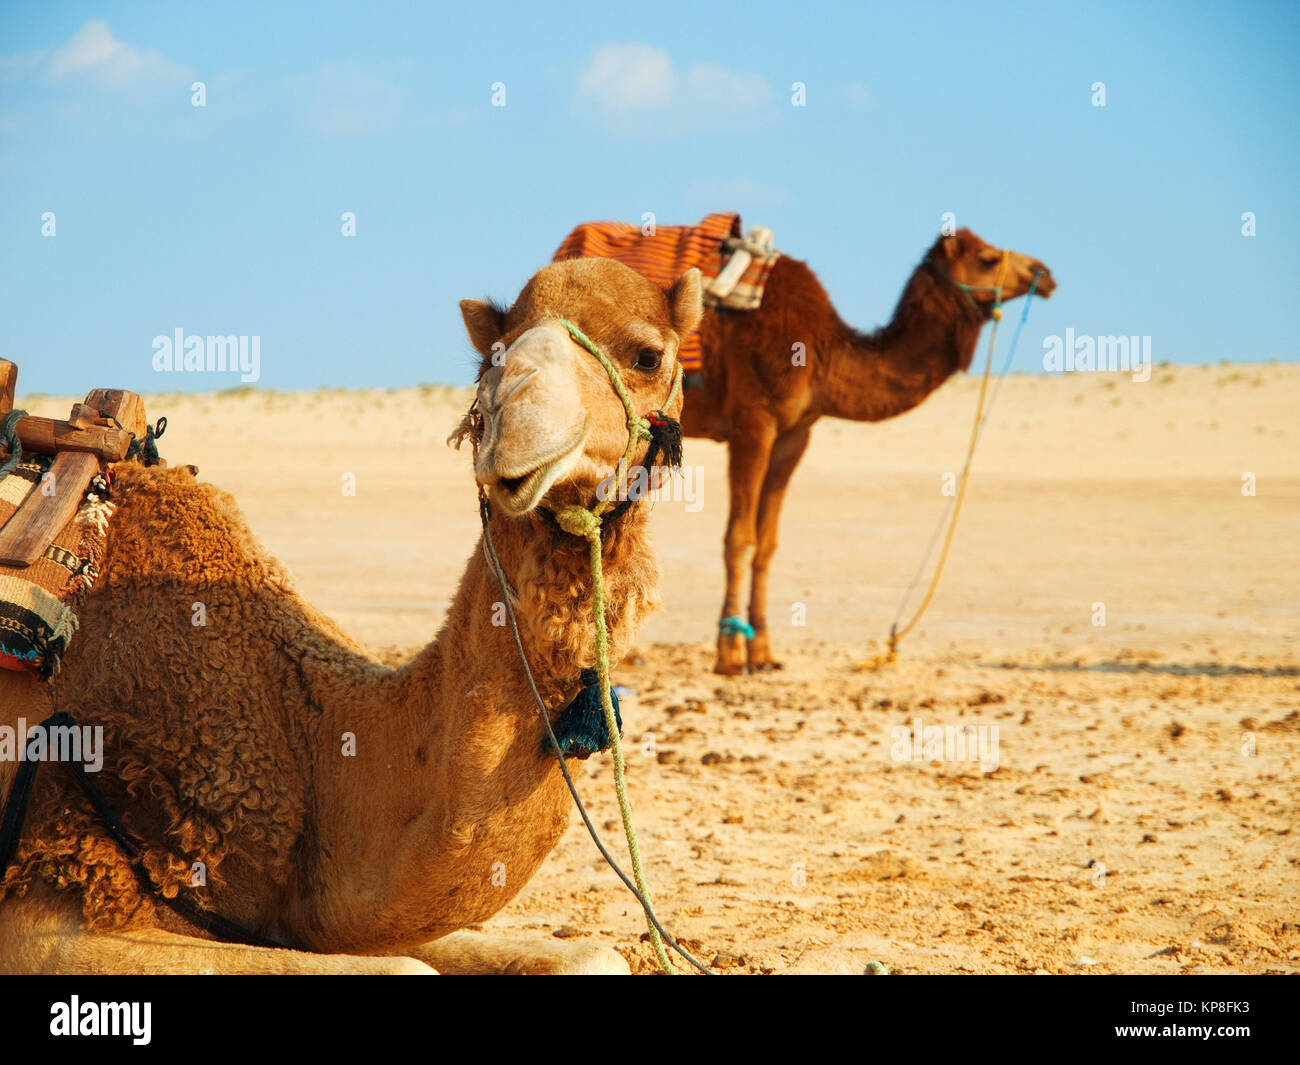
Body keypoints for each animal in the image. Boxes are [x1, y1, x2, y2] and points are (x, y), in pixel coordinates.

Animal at [0, 257, 703, 974]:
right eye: (492, 359)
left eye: (648, 355)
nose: (520, 424)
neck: (309, 745)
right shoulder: (54, 894)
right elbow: (407, 967)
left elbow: (592, 955)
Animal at [679, 228, 1056, 674]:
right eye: (987, 258)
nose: (1045, 273)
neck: (820, 348)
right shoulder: (753, 420)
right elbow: (739, 537)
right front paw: (730, 657)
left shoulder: (794, 433)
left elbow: (767, 543)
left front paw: (765, 655)